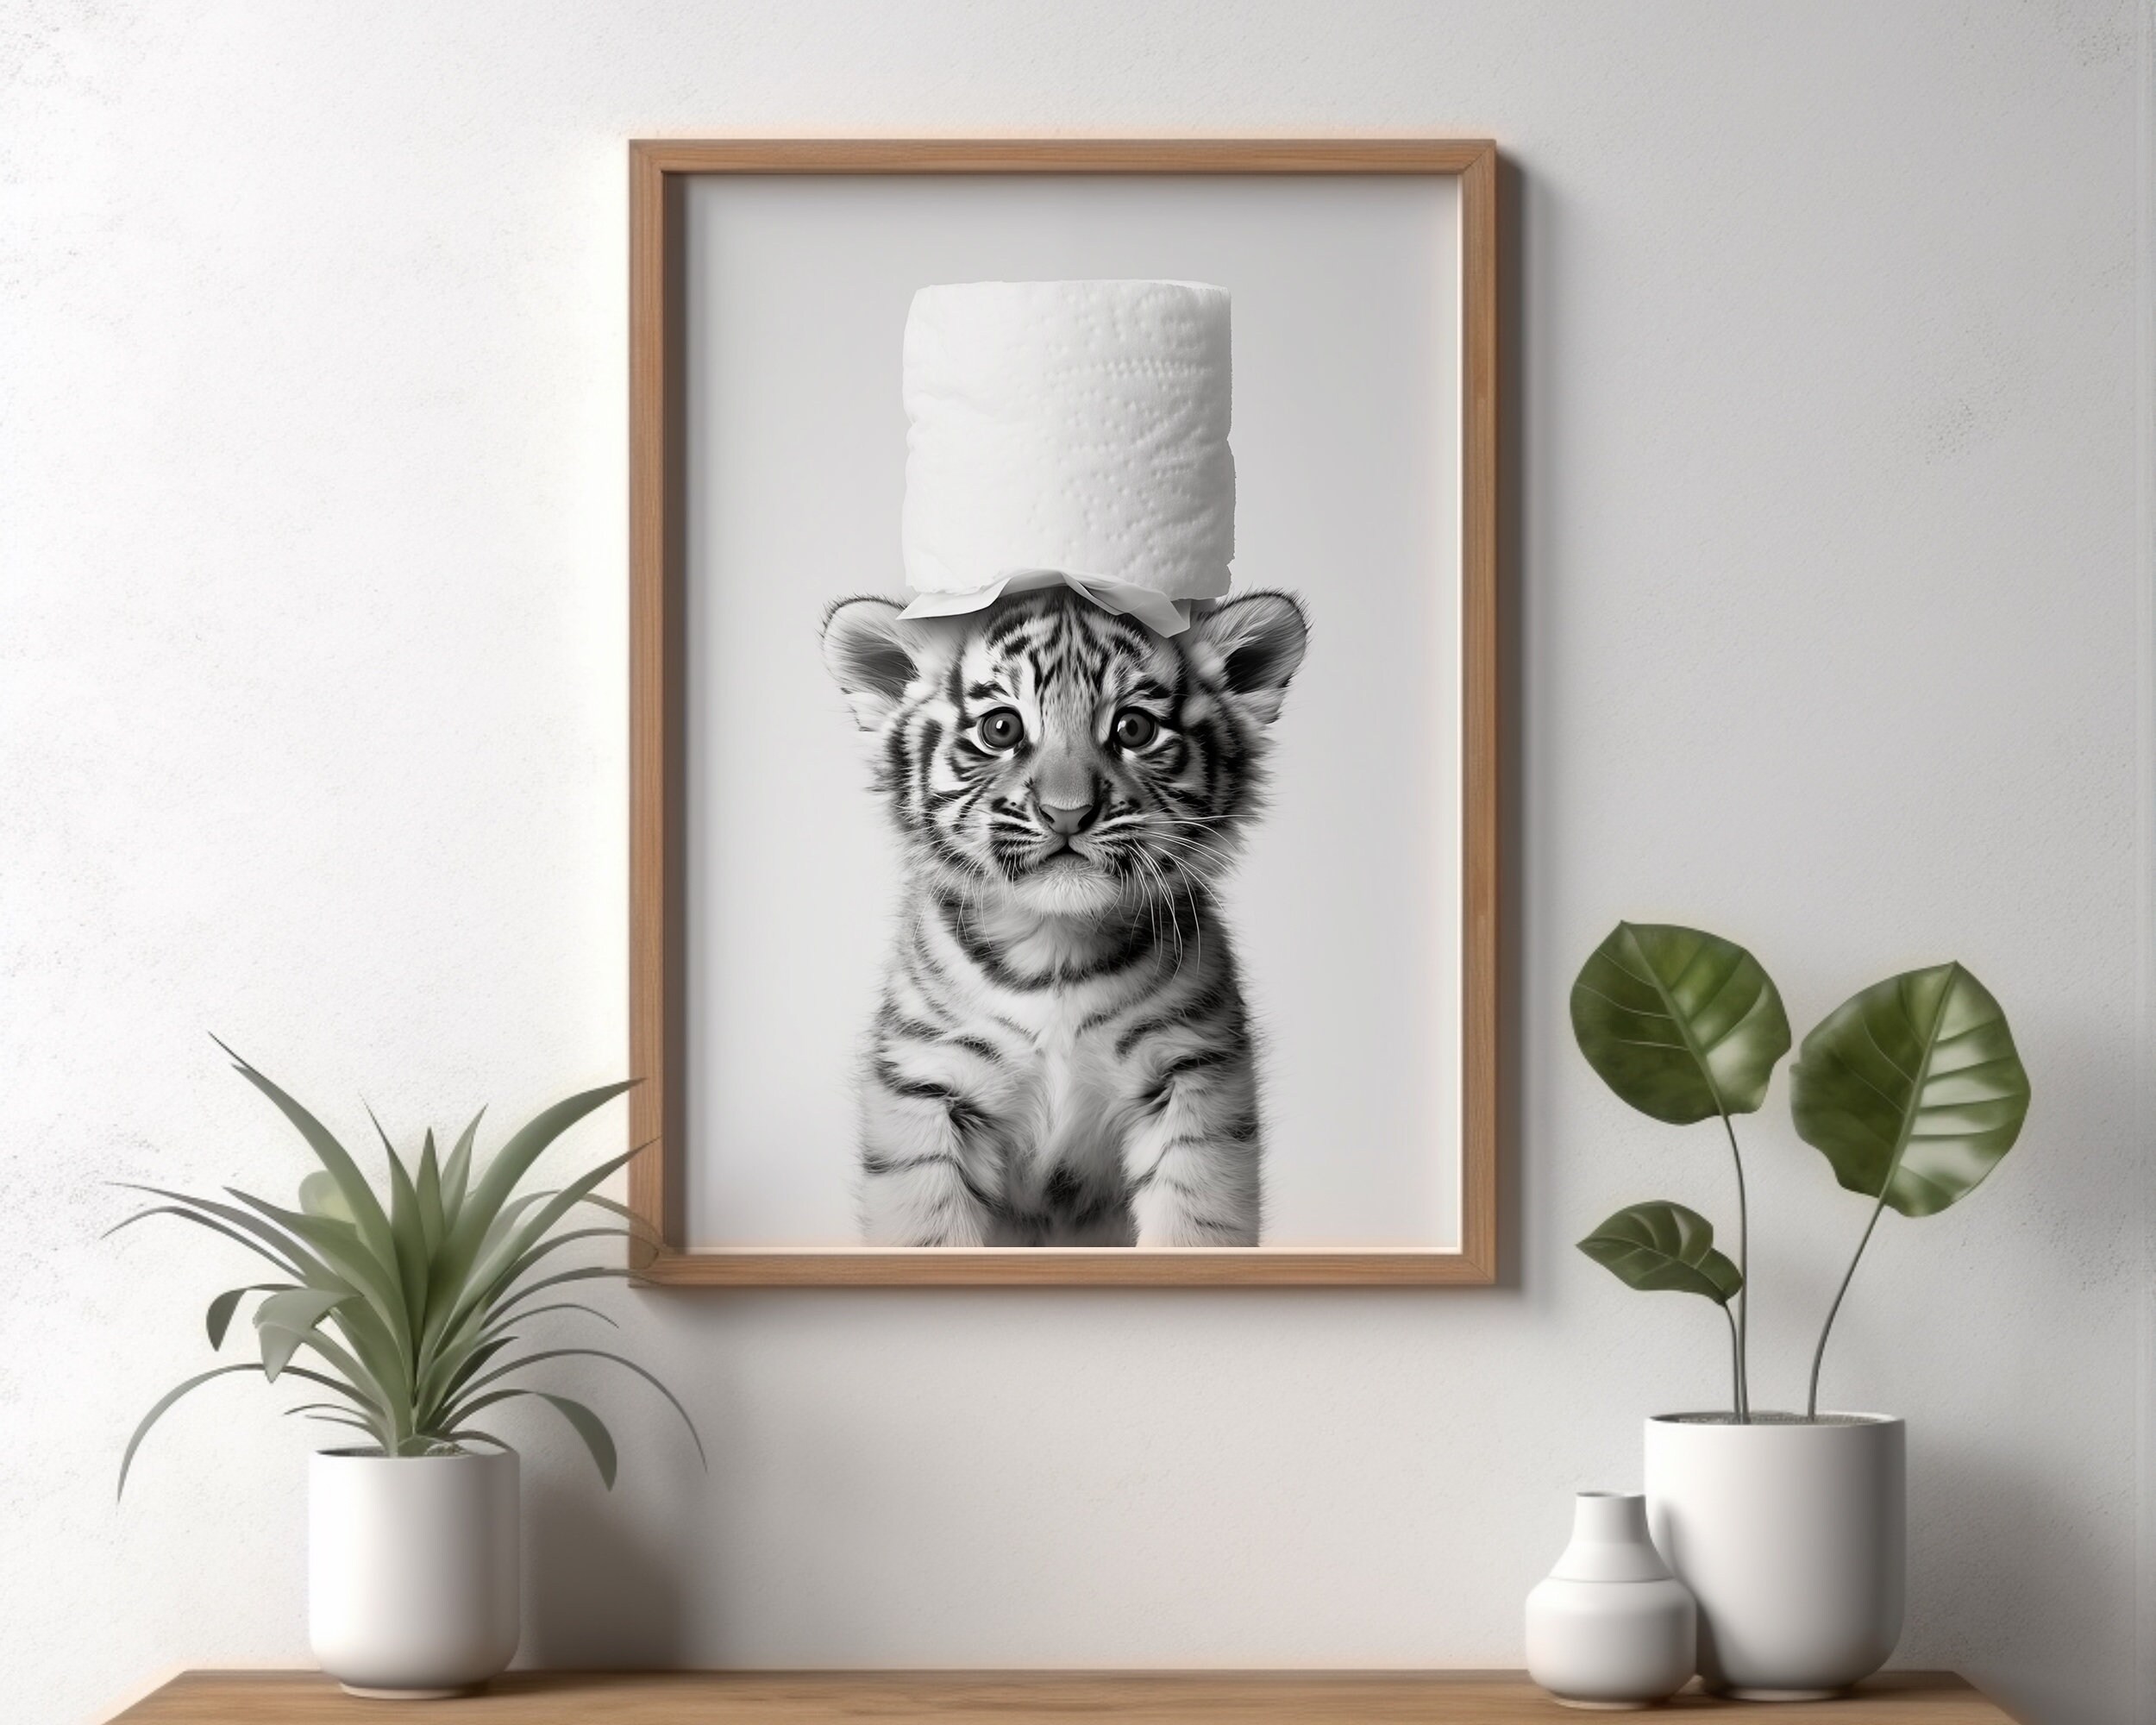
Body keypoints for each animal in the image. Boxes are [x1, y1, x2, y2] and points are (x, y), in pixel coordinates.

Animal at [818, 584, 1309, 1247]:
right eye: (1001, 728)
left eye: (1134, 728)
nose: (1068, 813)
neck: (1055, 947)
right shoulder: (927, 1082)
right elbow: (931, 1233)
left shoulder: (1195, 1074)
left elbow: (1192, 1226)